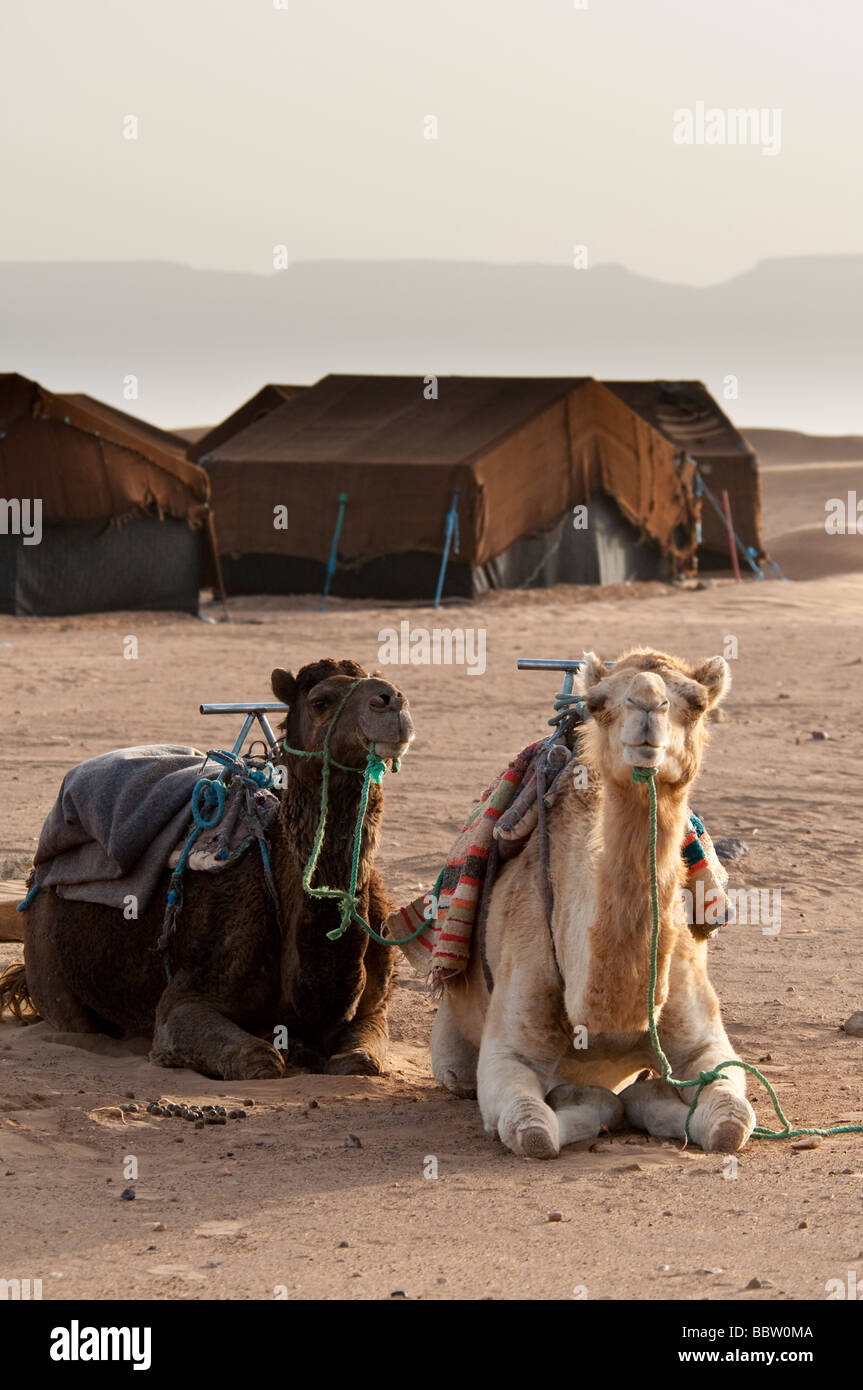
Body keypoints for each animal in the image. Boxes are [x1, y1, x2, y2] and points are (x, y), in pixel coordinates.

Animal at [0, 659, 413, 1080]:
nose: (391, 700)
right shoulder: (184, 1001)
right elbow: (260, 1061)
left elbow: (359, 1060)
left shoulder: (373, 1007)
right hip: (47, 958)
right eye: (320, 701)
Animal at [431, 648, 757, 1158]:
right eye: (599, 703)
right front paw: (584, 1099)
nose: (647, 704)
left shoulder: (706, 1044)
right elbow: (533, 1129)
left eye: (698, 703)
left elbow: (730, 1122)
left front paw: (650, 1099)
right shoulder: (507, 1050)